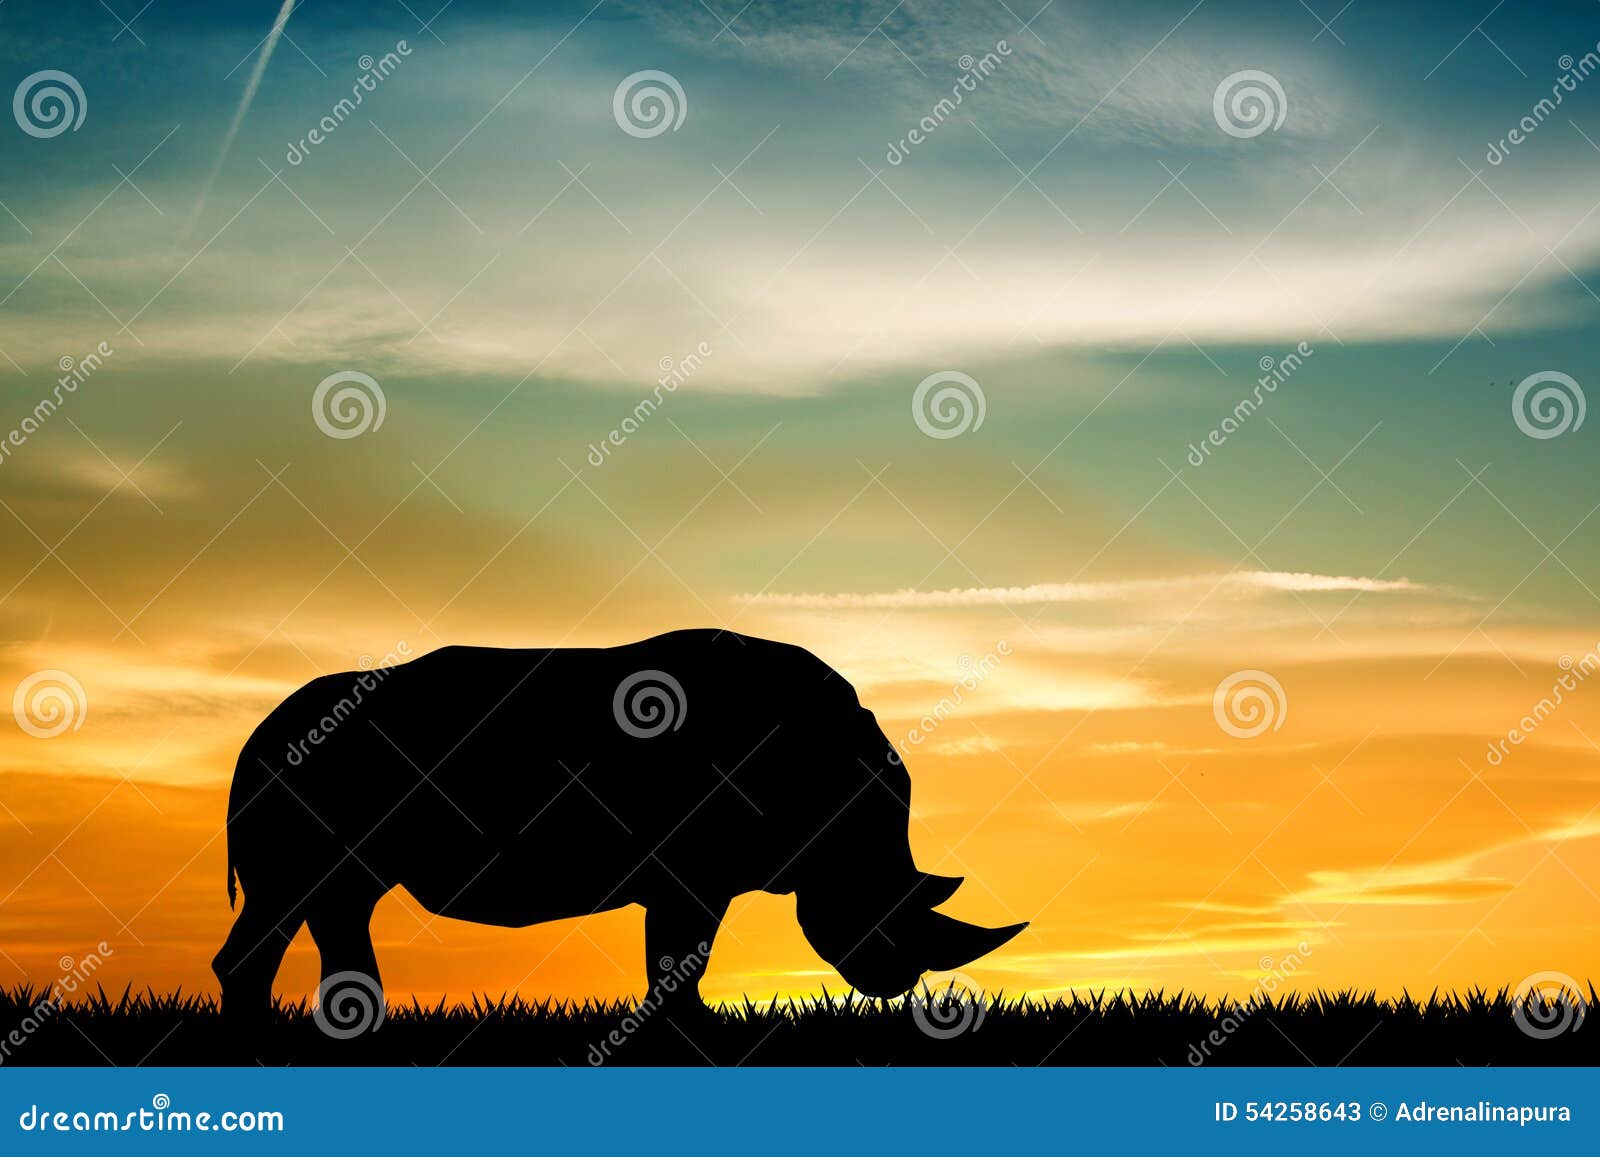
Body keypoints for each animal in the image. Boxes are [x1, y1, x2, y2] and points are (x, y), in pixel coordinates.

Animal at [213, 629, 1025, 1026]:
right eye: (881, 906)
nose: (896, 984)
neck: (841, 803)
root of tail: (258, 735)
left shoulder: (694, 873)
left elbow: (676, 950)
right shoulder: (692, 871)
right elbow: (682, 950)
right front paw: (694, 1024)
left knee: (342, 898)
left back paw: (358, 1024)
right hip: (303, 766)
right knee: (290, 896)